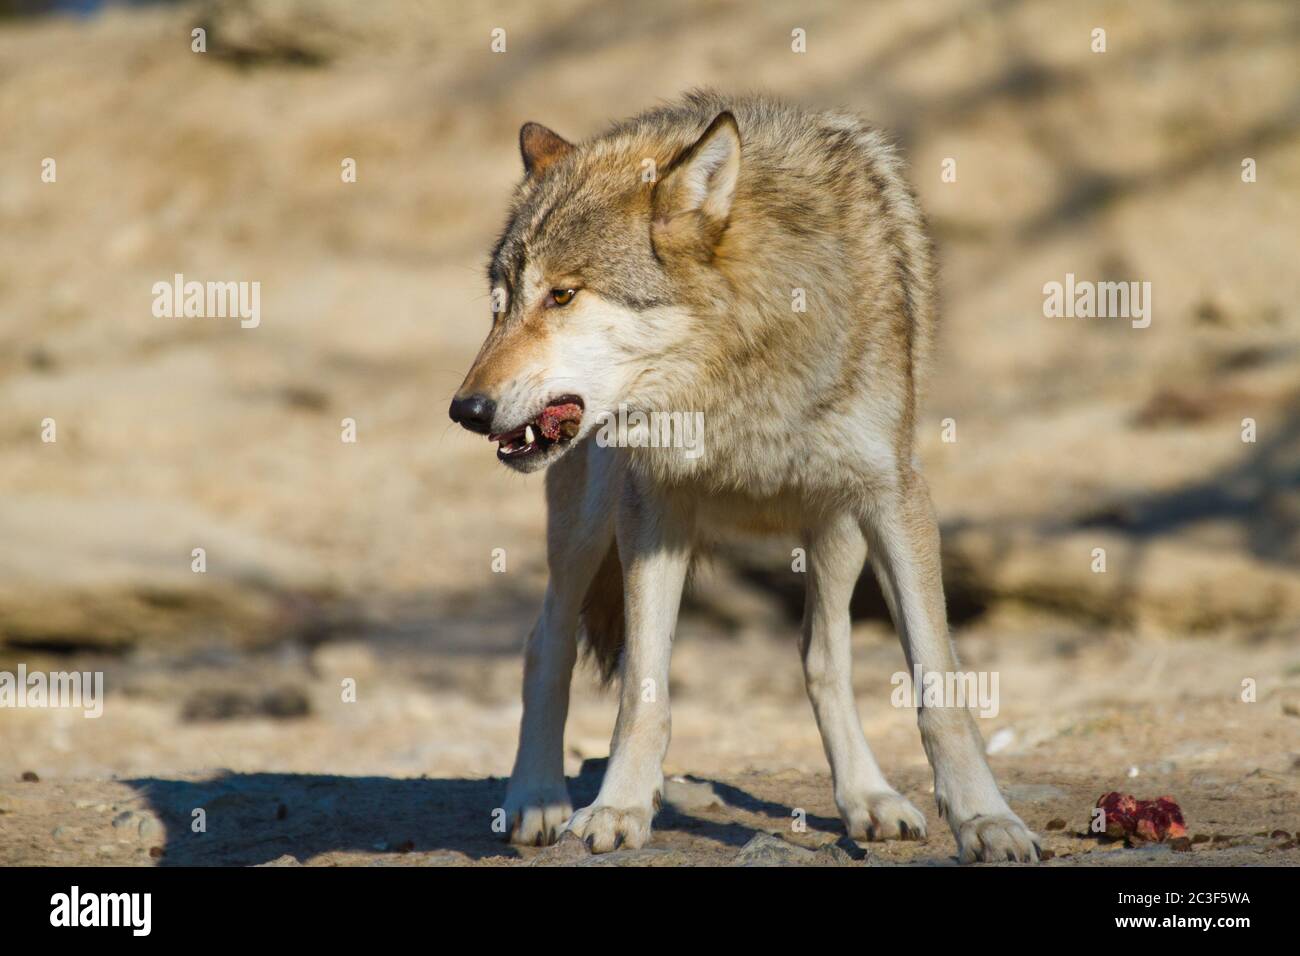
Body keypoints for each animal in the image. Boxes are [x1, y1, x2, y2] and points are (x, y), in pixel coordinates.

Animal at [450, 91, 1040, 862]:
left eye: (563, 295)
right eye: (501, 300)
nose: (466, 409)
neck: (733, 379)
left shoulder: (895, 498)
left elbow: (939, 685)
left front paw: (984, 819)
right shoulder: (653, 509)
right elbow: (643, 691)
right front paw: (619, 807)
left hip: (837, 528)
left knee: (821, 656)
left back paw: (868, 798)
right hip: (588, 526)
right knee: (543, 644)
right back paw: (537, 798)